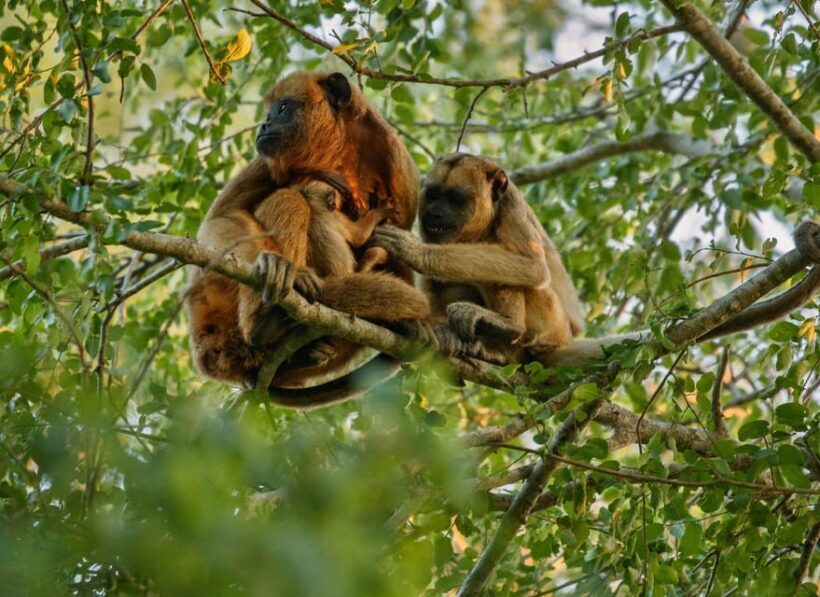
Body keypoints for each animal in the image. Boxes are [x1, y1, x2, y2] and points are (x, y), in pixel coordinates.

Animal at [185, 71, 428, 396]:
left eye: (283, 108)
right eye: (268, 113)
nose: (264, 125)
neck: (340, 149)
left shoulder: (400, 168)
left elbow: (398, 252)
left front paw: (409, 324)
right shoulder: (267, 159)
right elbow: (223, 216)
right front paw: (275, 264)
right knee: (289, 199)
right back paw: (267, 318)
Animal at [371, 152, 585, 365]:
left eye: (455, 199)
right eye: (433, 195)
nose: (434, 213)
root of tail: (566, 338)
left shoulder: (511, 205)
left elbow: (533, 265)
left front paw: (415, 251)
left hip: (552, 322)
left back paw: (508, 327)